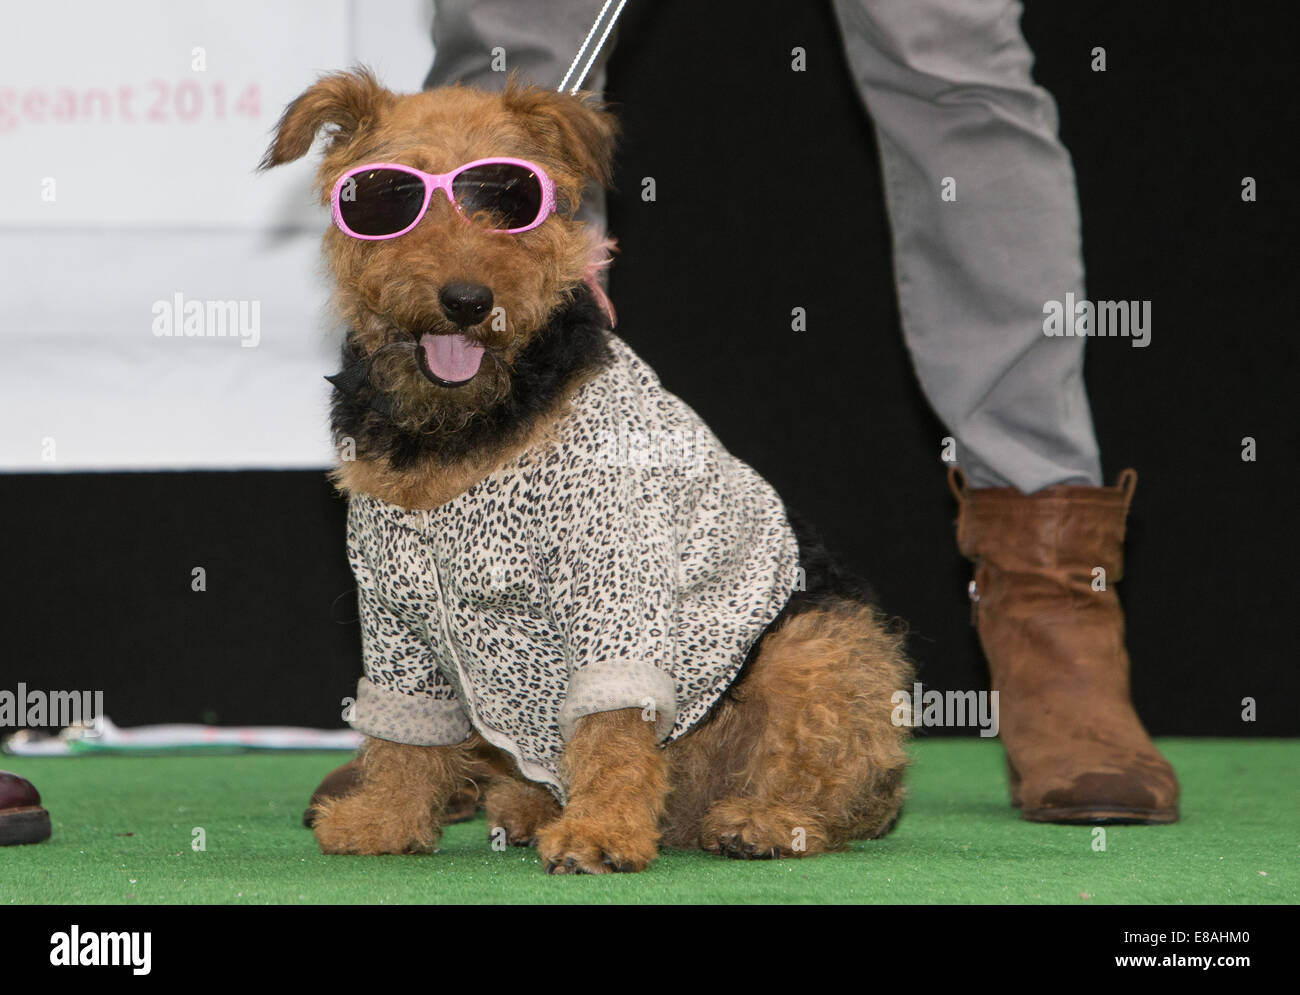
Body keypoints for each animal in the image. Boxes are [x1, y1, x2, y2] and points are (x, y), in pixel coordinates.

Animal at [261, 67, 915, 868]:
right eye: (389, 198)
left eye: (510, 199)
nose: (467, 301)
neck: (459, 433)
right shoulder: (394, 606)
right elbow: (404, 739)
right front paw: (384, 819)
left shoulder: (611, 584)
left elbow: (612, 731)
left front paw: (600, 833)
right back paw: (527, 805)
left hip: (814, 644)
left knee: (834, 778)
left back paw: (763, 820)